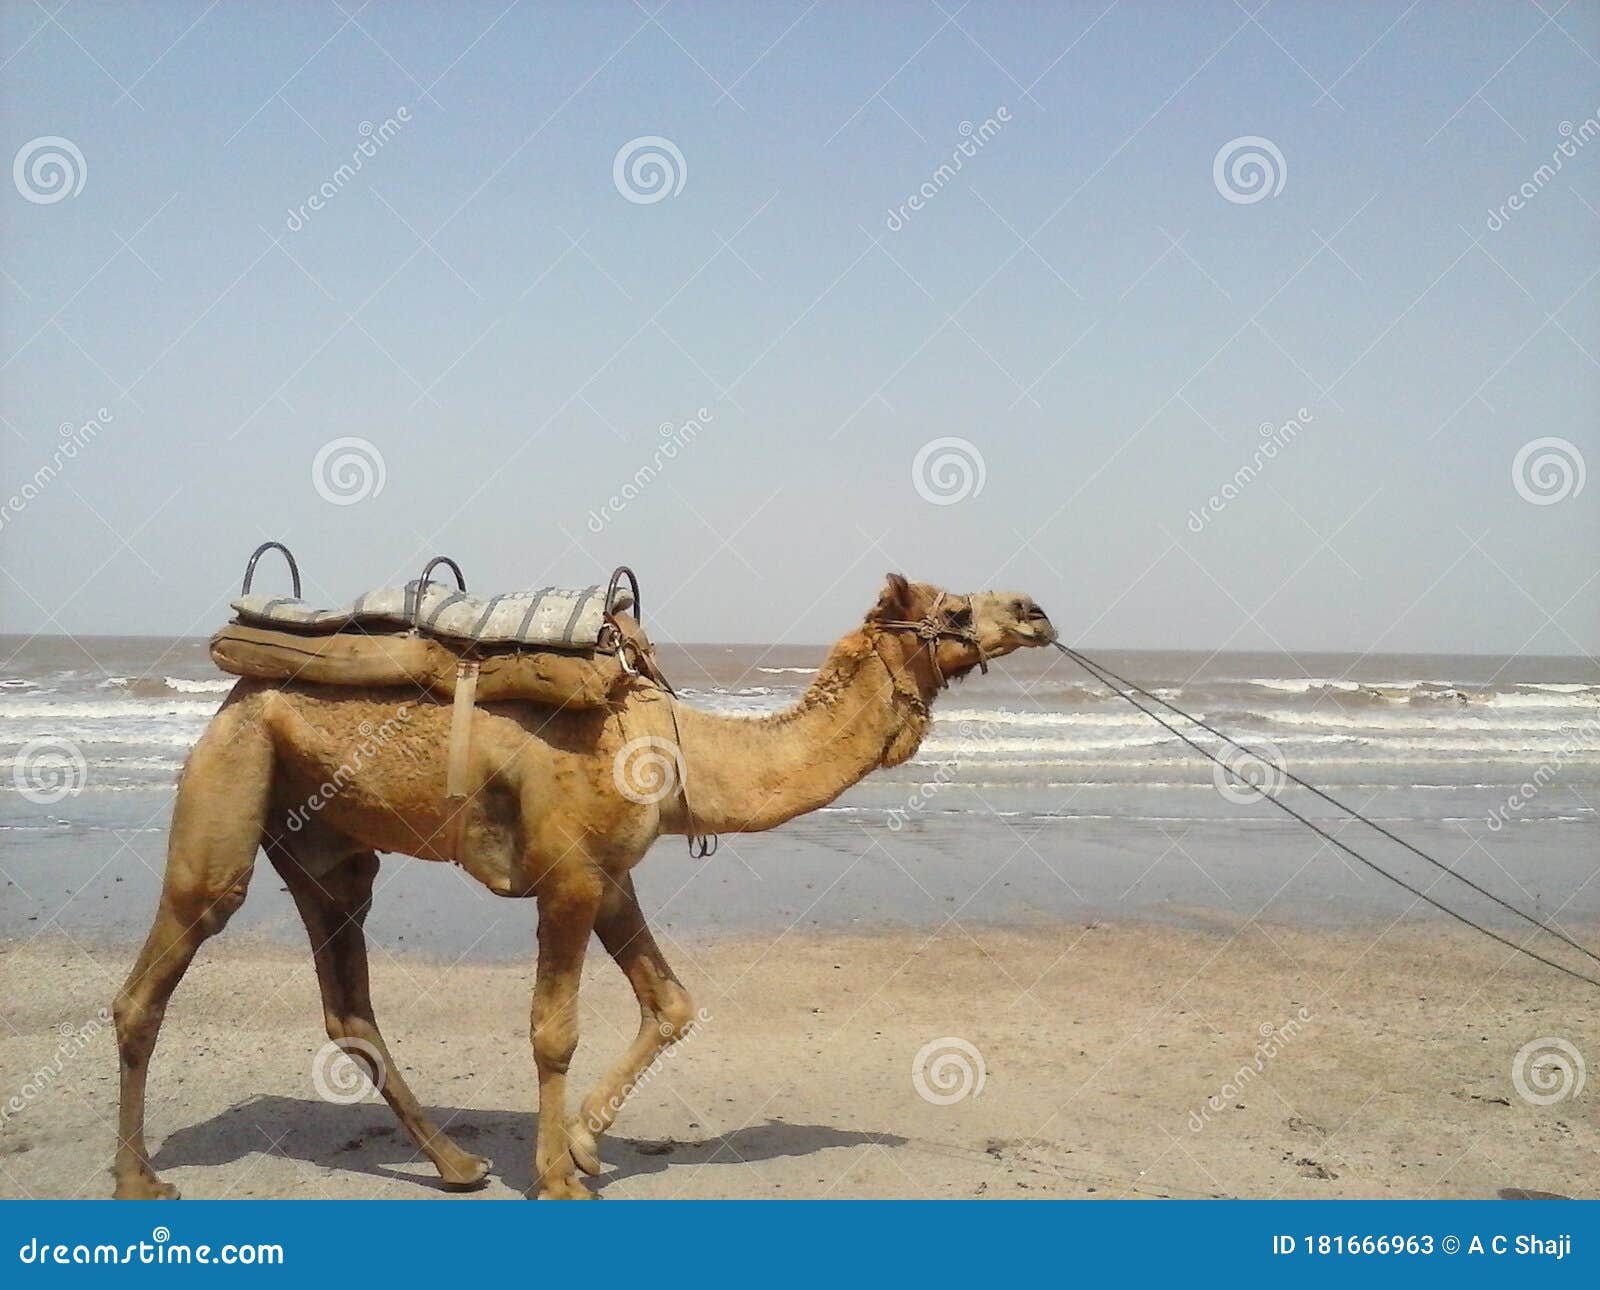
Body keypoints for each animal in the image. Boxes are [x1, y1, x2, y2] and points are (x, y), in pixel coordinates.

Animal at [112, 574, 1056, 1200]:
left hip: (326, 846)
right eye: (957, 609)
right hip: (233, 775)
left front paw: (586, 1146)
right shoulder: (567, 877)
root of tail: (236, 680)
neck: (675, 747)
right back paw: (140, 1179)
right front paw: (558, 1176)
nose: (1037, 611)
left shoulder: (611, 877)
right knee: (161, 967)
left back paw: (459, 1165)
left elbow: (671, 1003)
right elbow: (552, 1032)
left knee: (349, 1005)